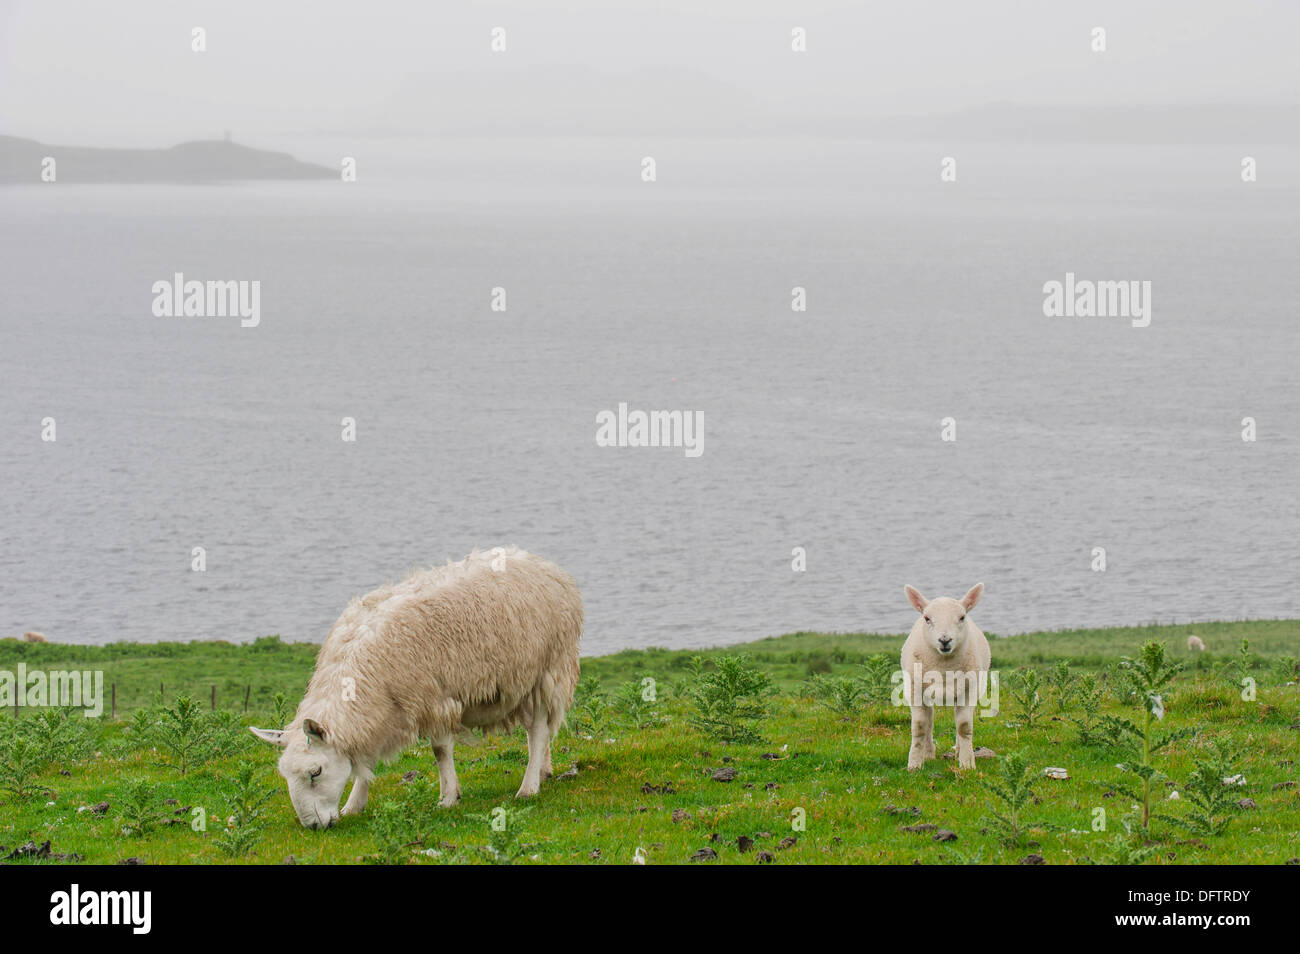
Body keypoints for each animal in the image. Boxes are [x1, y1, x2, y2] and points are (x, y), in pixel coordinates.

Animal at [251, 547, 582, 829]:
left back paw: (528, 786)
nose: (313, 826)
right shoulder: (380, 710)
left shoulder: (434, 698)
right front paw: (355, 803)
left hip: (547, 671)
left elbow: (440, 751)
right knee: (537, 732)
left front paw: (448, 797)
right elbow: (366, 760)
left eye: (315, 772)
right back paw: (543, 771)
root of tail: (542, 563)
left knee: (538, 731)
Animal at [900, 583, 990, 771]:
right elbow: (920, 726)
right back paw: (928, 753)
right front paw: (914, 764)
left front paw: (967, 764)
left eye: (962, 617)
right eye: (927, 618)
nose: (944, 640)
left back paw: (957, 753)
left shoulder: (969, 690)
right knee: (929, 718)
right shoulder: (914, 689)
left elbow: (964, 726)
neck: (943, 669)